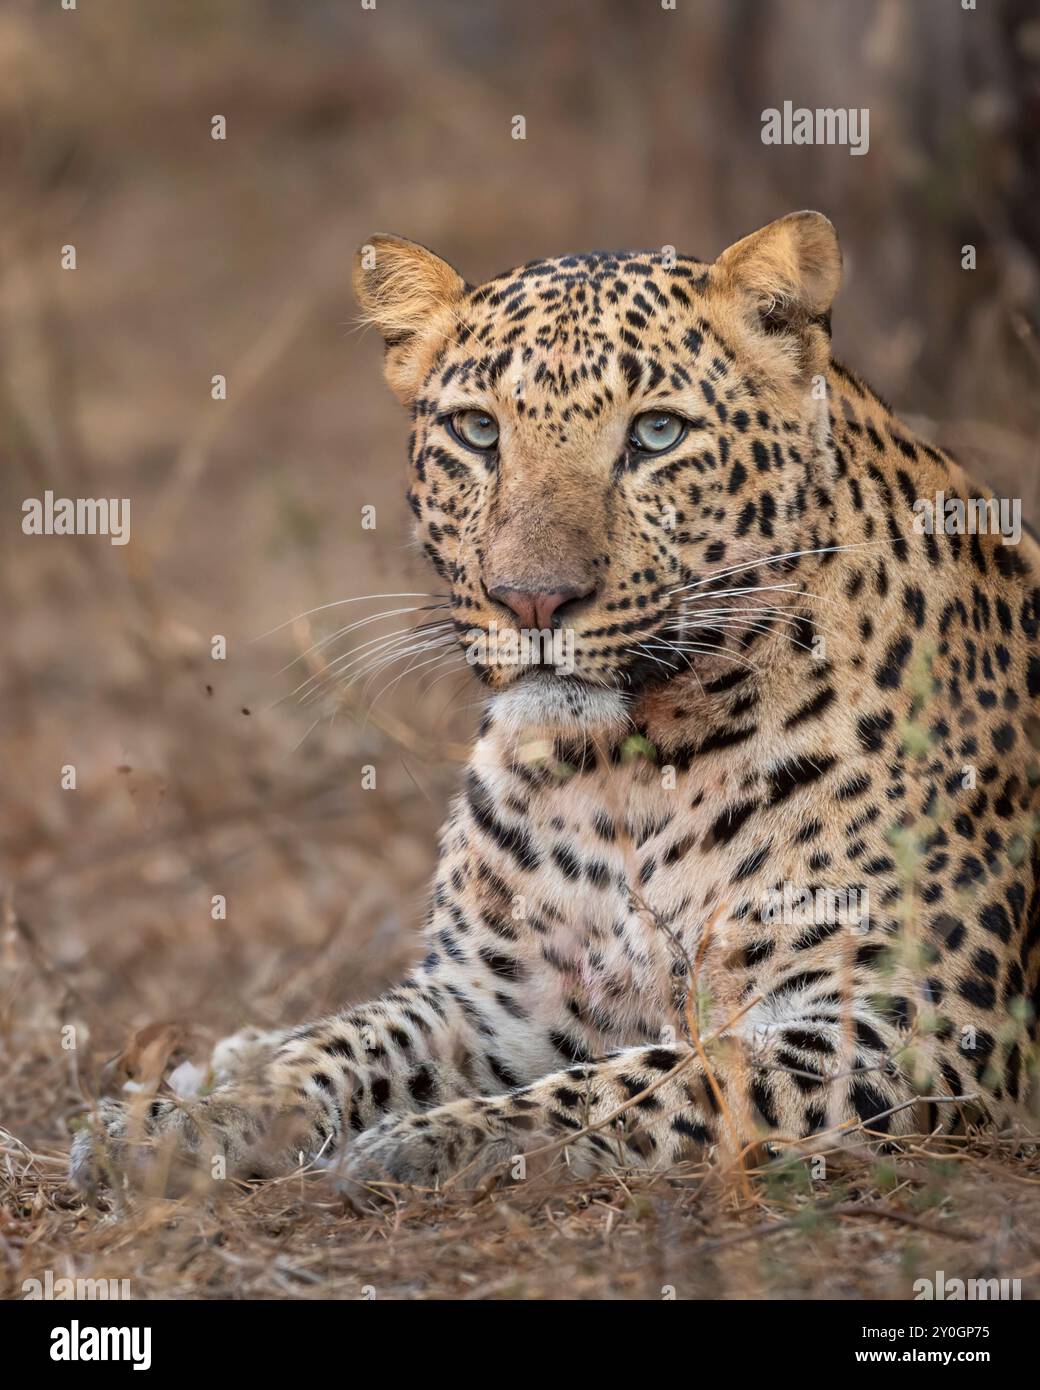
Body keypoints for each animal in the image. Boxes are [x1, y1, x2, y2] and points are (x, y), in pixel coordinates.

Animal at [72, 211, 1040, 1202]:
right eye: (477, 432)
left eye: (656, 433)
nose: (533, 601)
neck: (627, 774)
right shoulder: (494, 997)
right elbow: (343, 1049)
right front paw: (180, 1127)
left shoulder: (909, 1025)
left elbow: (647, 1081)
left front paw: (433, 1142)